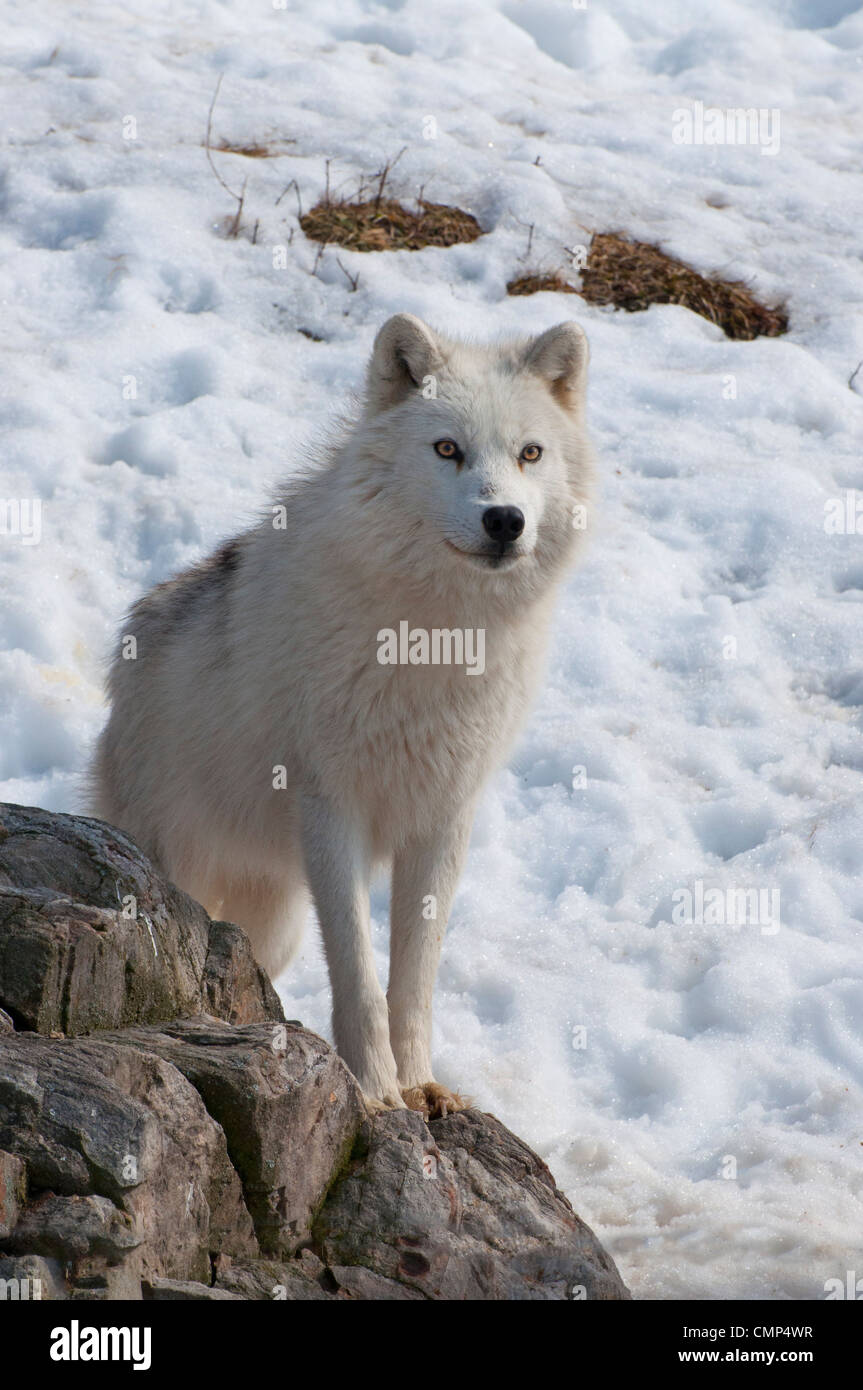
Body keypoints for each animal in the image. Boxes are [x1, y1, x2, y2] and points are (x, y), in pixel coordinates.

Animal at [92, 314, 593, 1115]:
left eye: (530, 453)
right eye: (446, 449)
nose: (505, 520)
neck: (433, 641)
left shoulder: (444, 817)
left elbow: (413, 980)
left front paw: (420, 1086)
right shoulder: (332, 807)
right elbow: (358, 971)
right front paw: (379, 1094)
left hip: (273, 926)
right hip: (186, 876)